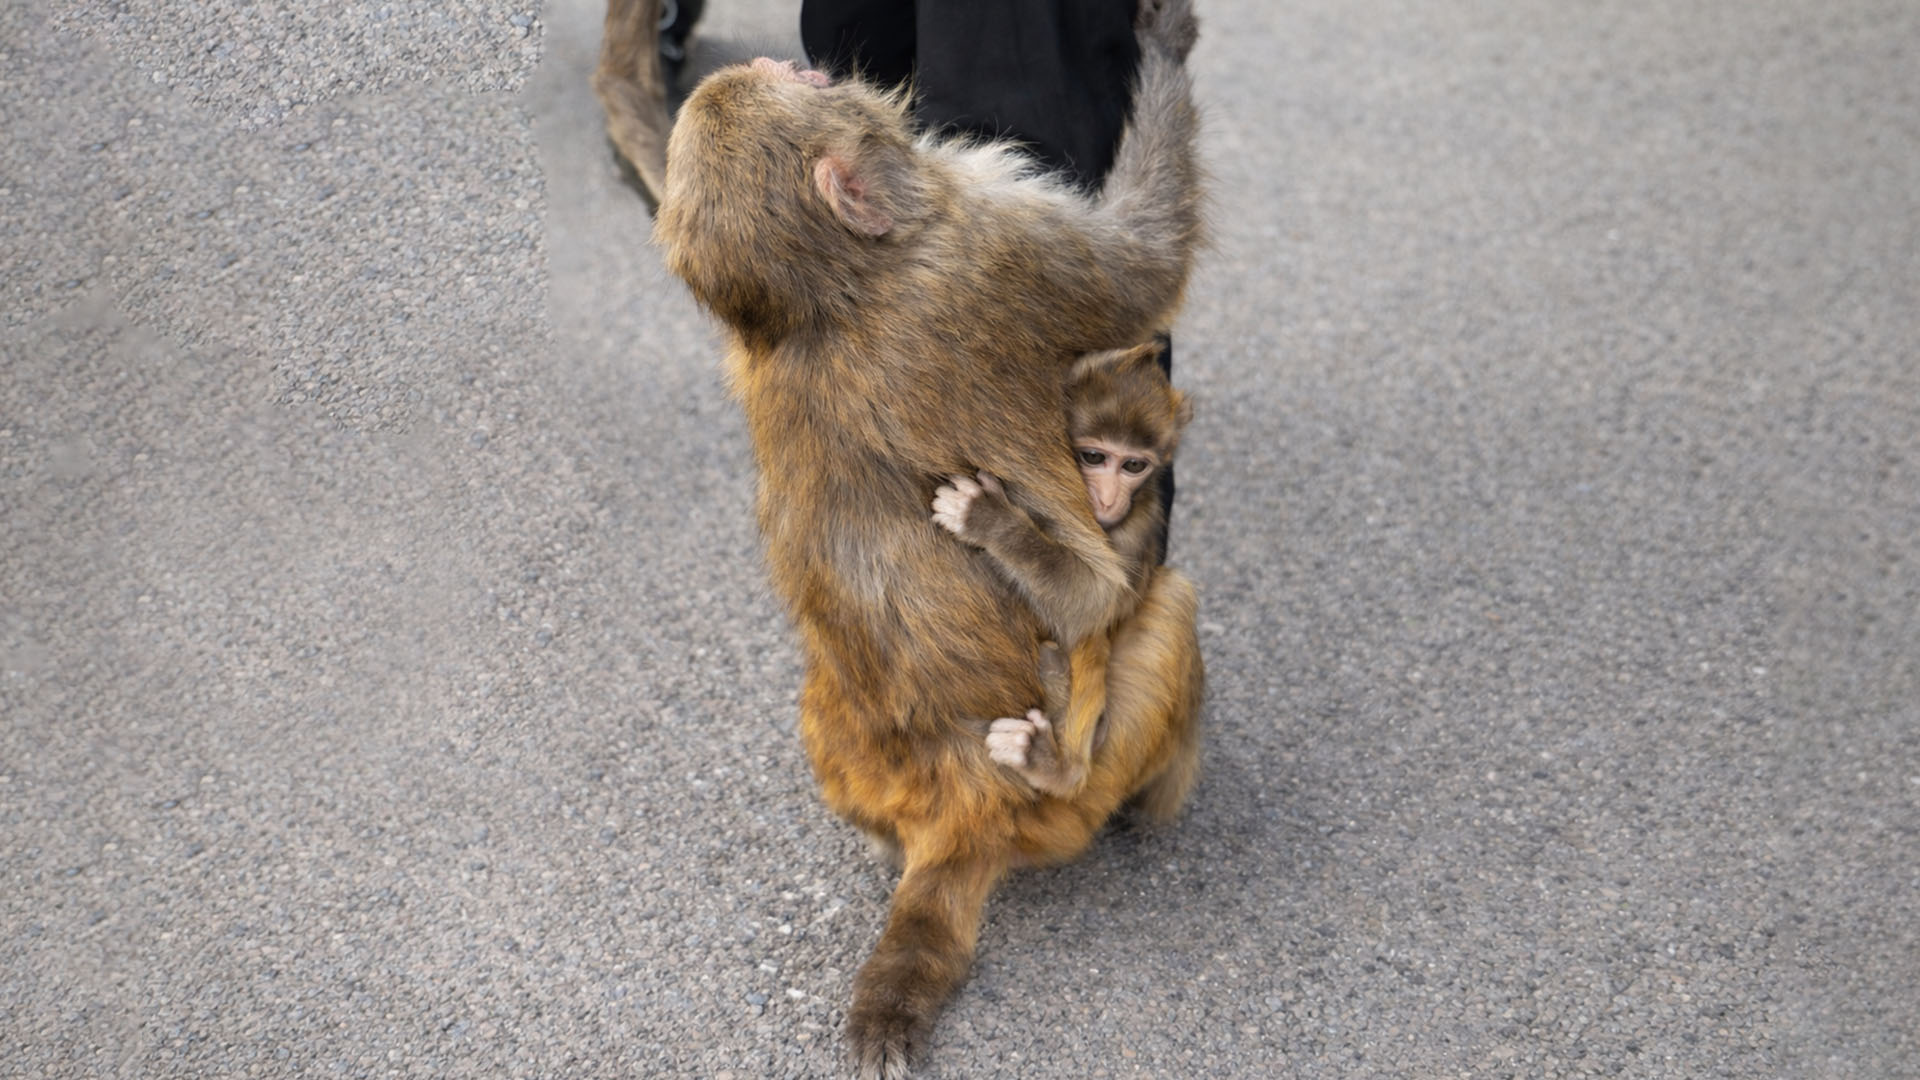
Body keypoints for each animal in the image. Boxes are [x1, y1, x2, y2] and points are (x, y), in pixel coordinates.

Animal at [932, 340, 1193, 800]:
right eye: (1093, 457)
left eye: (1133, 466)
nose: (1108, 500)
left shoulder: (1131, 531)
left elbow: (1091, 607)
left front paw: (991, 520)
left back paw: (1056, 766)